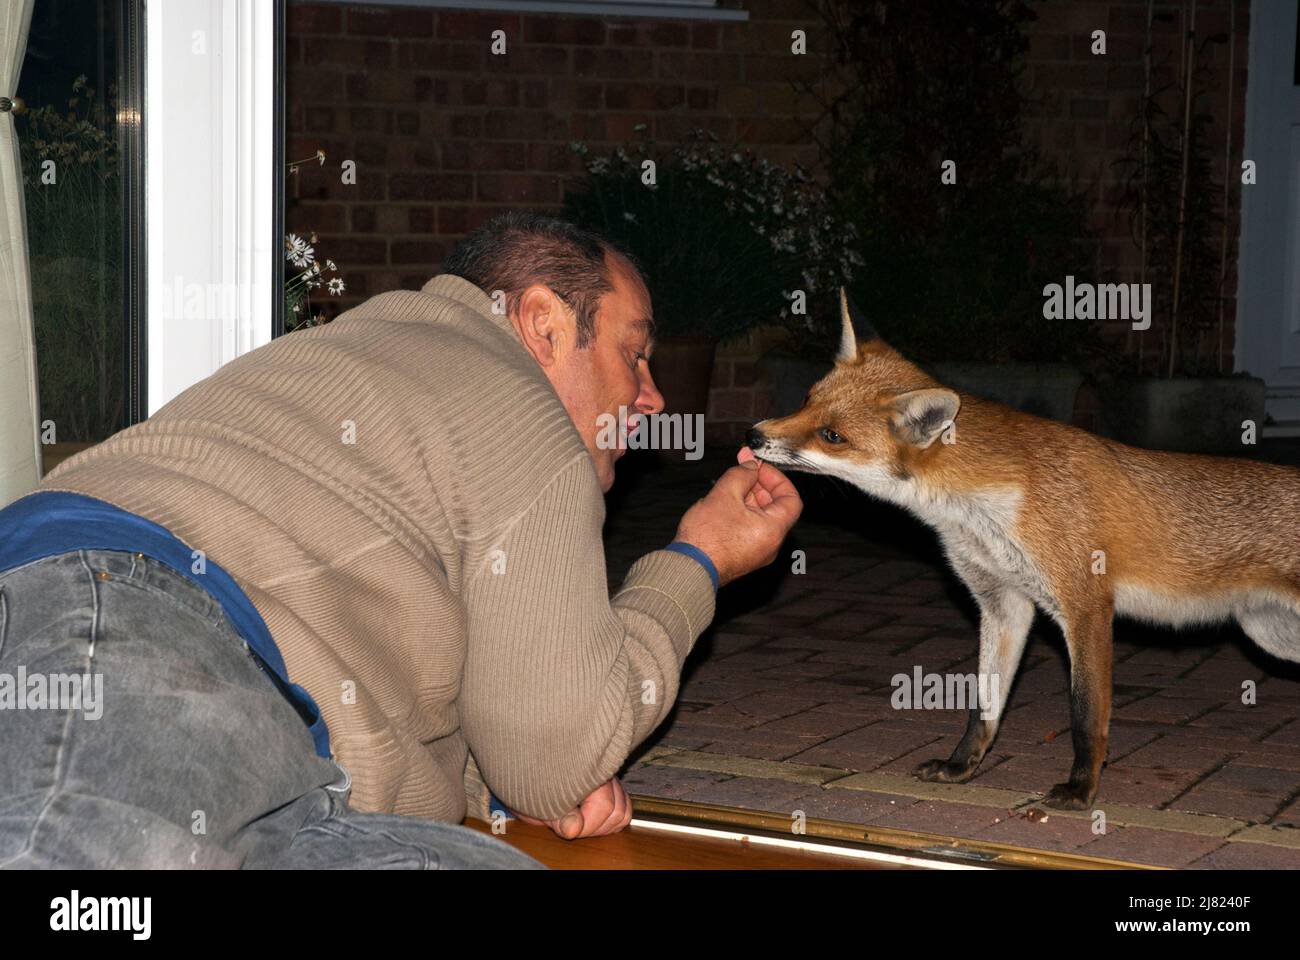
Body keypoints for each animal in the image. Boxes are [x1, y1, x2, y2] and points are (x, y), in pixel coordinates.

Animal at [747, 289, 1300, 809]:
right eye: (806, 399)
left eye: (832, 435)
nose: (753, 436)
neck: (986, 509)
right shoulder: (1003, 603)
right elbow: (984, 705)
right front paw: (960, 768)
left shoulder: (1085, 607)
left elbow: (1085, 714)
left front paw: (1081, 791)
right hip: (1272, 635)